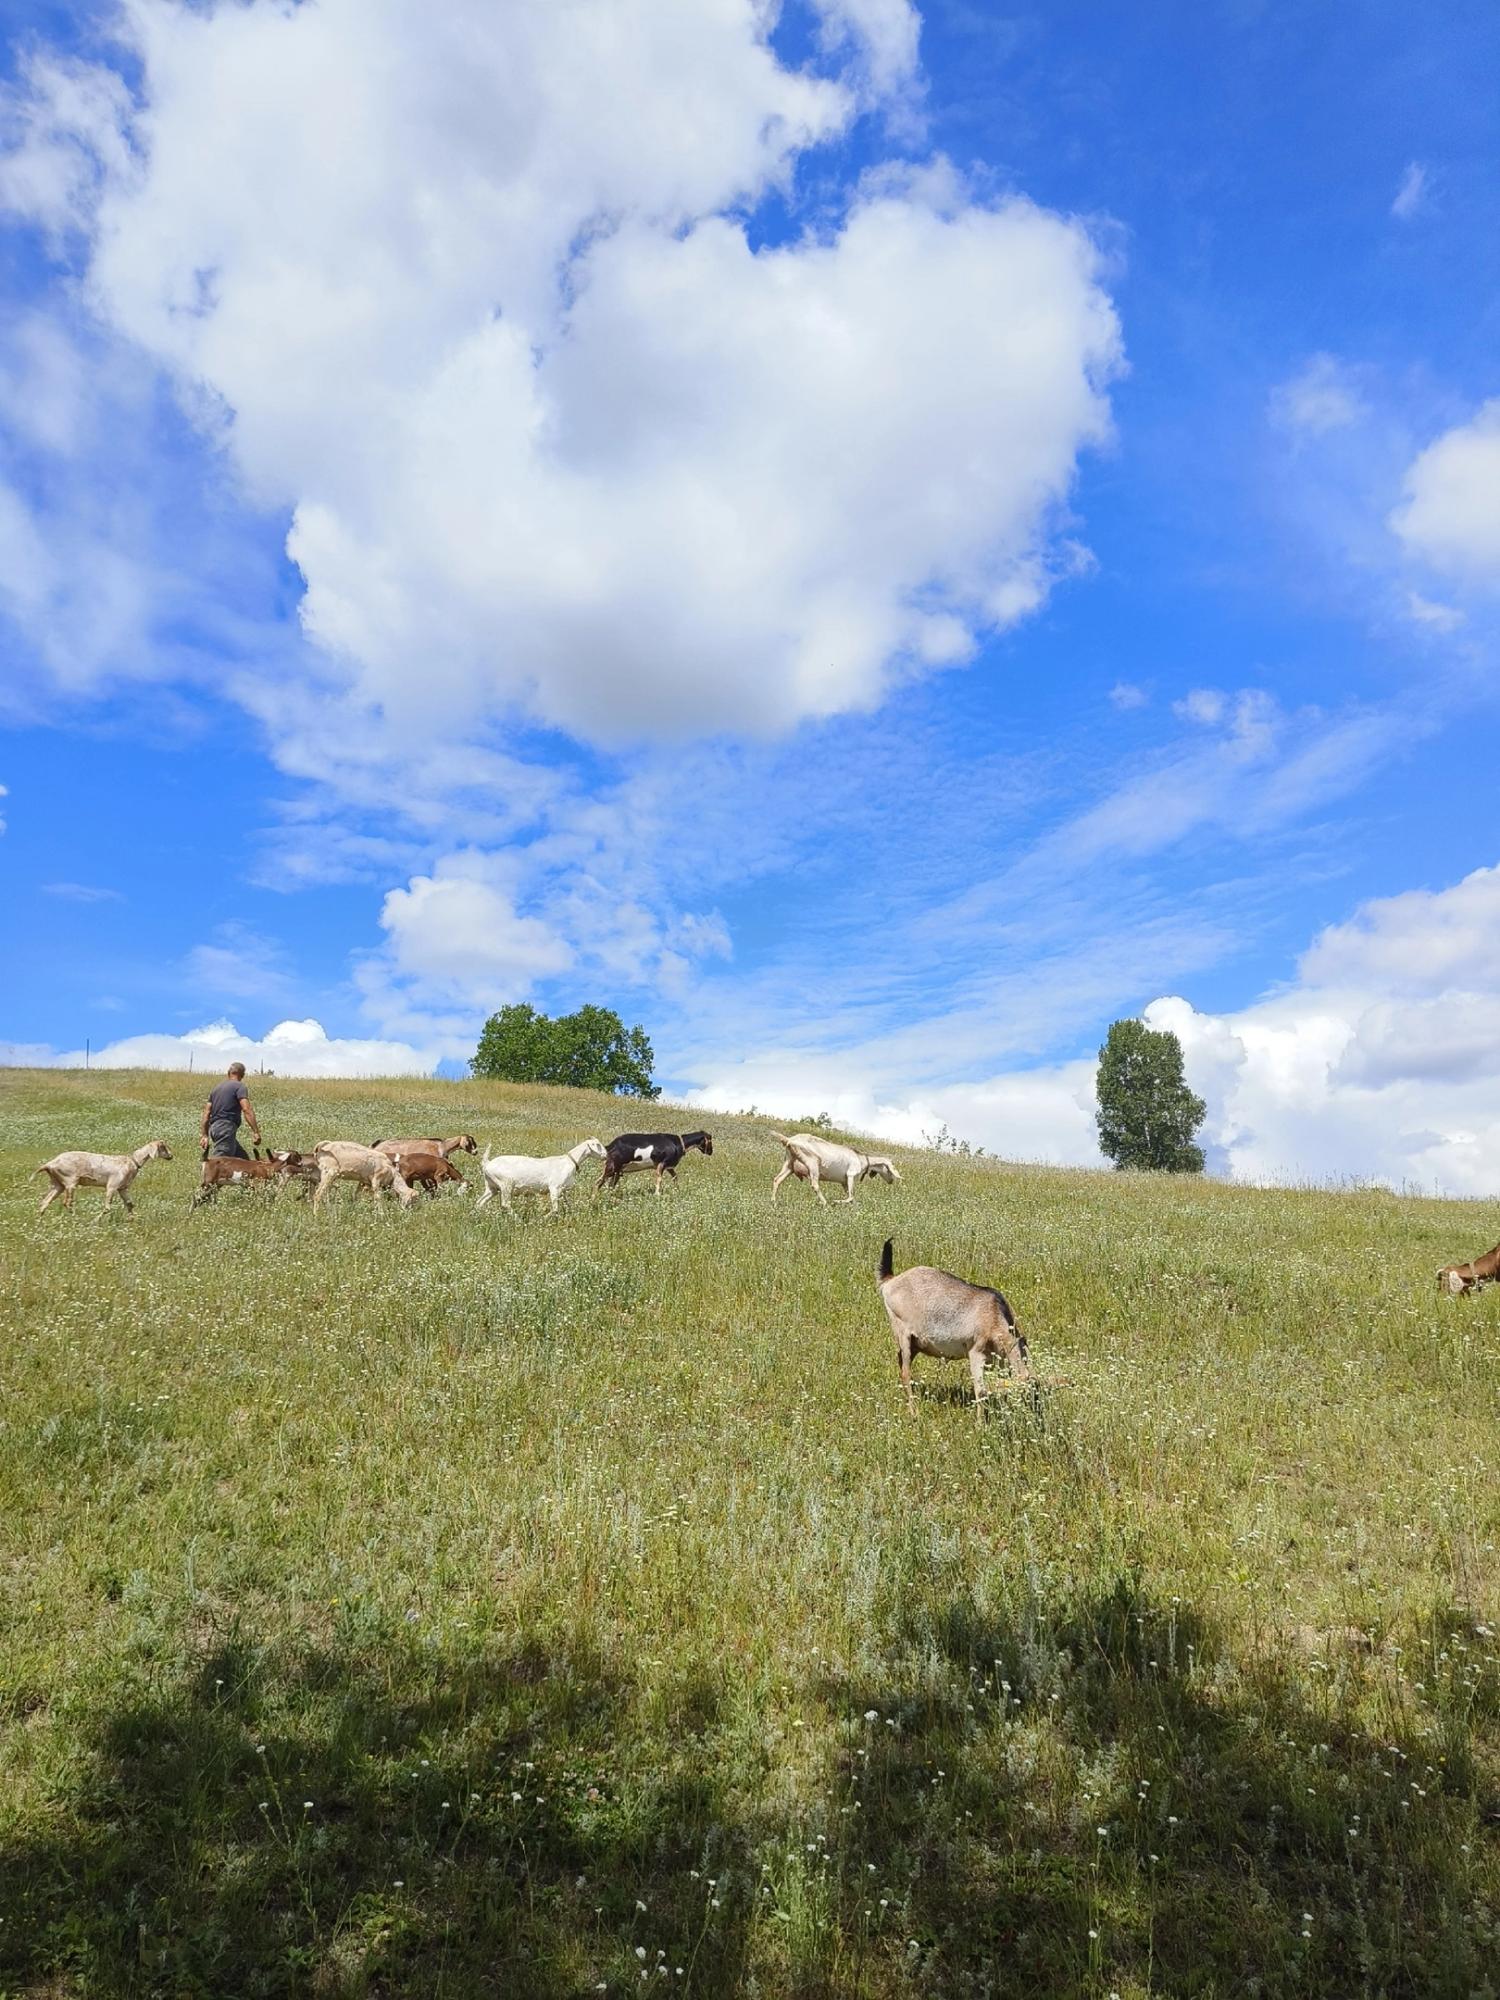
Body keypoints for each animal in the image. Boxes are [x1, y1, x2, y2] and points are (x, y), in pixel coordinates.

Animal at [35, 1144, 173, 1216]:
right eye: (163, 1147)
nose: (171, 1156)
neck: (132, 1162)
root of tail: (50, 1164)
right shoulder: (112, 1186)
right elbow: (107, 1208)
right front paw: (96, 1221)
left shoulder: (122, 1188)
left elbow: (130, 1204)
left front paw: (133, 1220)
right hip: (70, 1182)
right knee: (67, 1202)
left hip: (58, 1184)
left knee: (44, 1202)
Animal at [476, 1136, 604, 1208]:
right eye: (599, 1145)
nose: (605, 1155)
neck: (569, 1161)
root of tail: (487, 1164)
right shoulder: (555, 1187)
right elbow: (555, 1209)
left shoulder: (563, 1190)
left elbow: (568, 1205)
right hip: (505, 1184)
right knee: (505, 1205)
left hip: (492, 1187)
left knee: (479, 1202)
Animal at [776, 1136, 904, 1208]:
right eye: (889, 1170)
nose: (891, 1181)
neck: (862, 1159)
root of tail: (789, 1140)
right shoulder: (851, 1175)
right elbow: (851, 1197)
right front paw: (836, 1202)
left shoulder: (844, 1181)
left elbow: (852, 1197)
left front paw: (856, 1210)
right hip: (812, 1164)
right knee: (815, 1185)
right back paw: (826, 1203)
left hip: (789, 1164)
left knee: (777, 1180)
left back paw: (774, 1202)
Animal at [876, 1232, 1032, 1424]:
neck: (994, 1315)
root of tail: (890, 1281)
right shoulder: (976, 1352)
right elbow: (981, 1390)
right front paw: (980, 1424)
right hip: (903, 1333)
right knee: (905, 1373)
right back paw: (914, 1413)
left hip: (916, 1343)